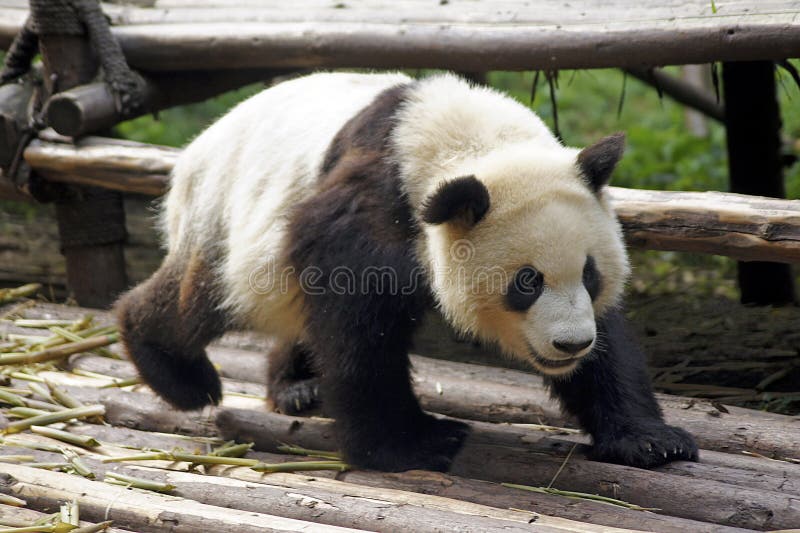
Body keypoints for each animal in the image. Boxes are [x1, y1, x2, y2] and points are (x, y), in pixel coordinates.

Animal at [115, 72, 698, 472]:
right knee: (200, 299)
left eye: (590, 274)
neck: (472, 142)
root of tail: (192, 151)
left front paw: (650, 439)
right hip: (227, 215)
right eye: (526, 282)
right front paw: (411, 445)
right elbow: (357, 322)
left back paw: (297, 386)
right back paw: (173, 368)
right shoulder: (375, 204)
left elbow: (612, 340)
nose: (571, 344)